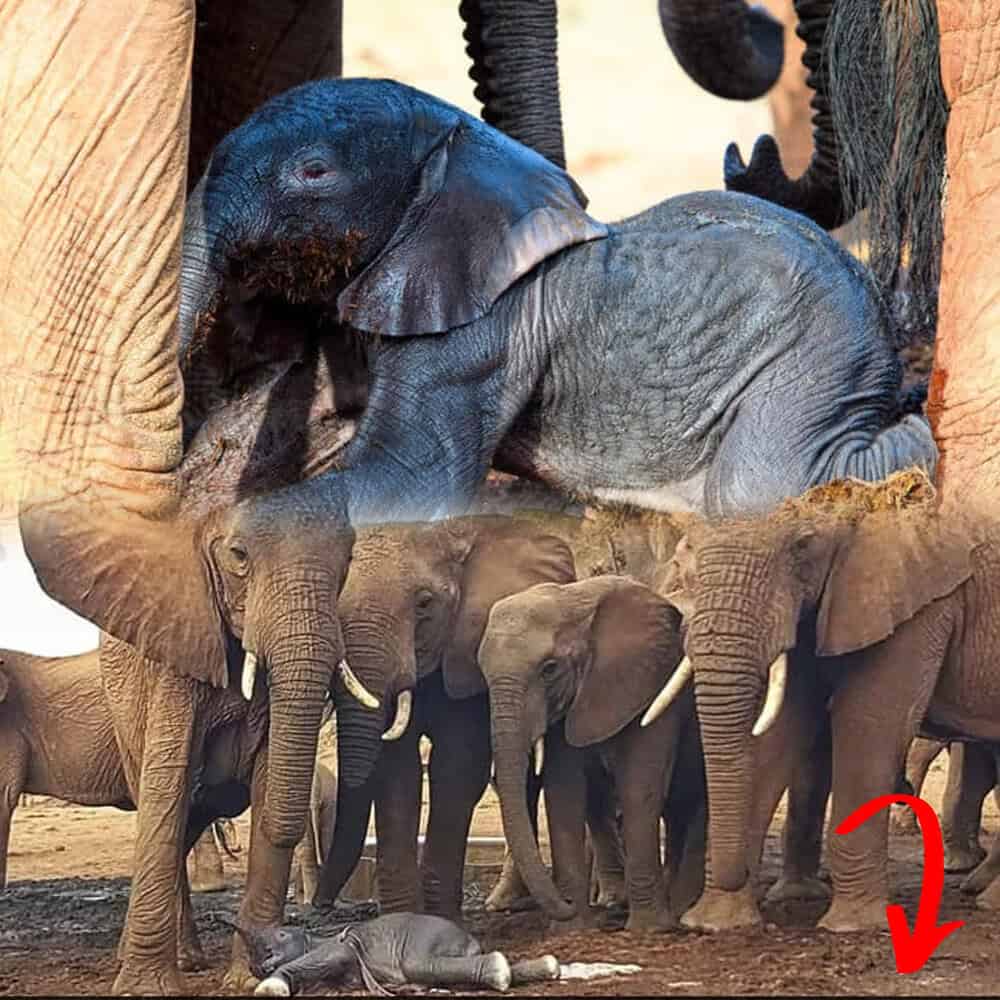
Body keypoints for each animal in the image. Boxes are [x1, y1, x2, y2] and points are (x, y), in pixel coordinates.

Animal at [310, 513, 577, 920]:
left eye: (424, 603)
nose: (320, 905)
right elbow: (398, 771)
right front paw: (406, 917)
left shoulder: (468, 656)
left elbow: (456, 766)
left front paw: (440, 918)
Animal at [478, 574, 707, 930]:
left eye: (549, 669)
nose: (566, 906)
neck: (575, 601)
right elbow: (564, 792)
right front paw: (572, 929)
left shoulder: (651, 683)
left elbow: (639, 785)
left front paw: (649, 930)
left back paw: (681, 911)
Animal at [645, 470, 1000, 933]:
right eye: (687, 556)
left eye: (803, 547)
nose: (732, 873)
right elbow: (782, 731)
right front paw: (718, 922)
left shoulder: (915, 601)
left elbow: (869, 721)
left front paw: (850, 925)